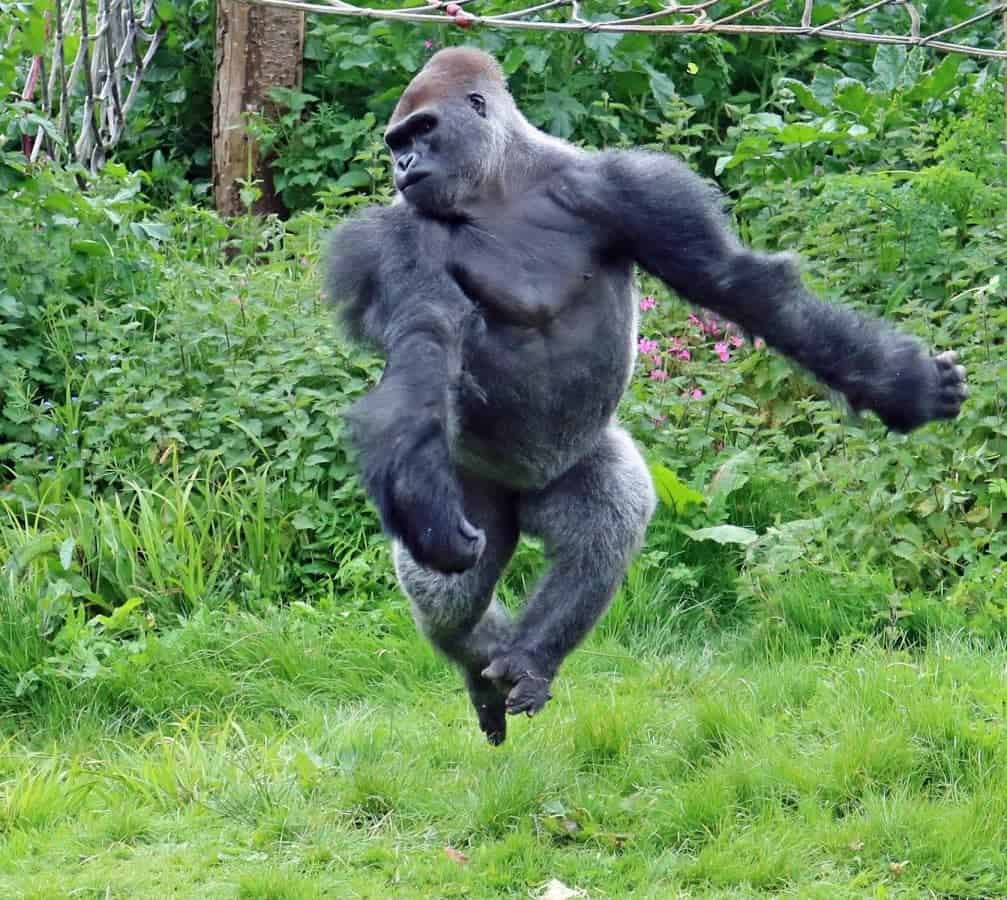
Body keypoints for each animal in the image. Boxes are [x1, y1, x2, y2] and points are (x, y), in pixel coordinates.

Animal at [325, 47, 968, 745]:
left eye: (421, 132)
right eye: (397, 142)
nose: (401, 166)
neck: (502, 186)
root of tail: (521, 500)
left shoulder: (636, 191)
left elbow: (734, 282)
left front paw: (900, 385)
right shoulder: (398, 236)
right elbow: (425, 334)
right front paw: (422, 500)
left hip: (569, 471)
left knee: (606, 518)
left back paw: (530, 660)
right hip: (474, 488)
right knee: (451, 598)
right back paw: (478, 665)